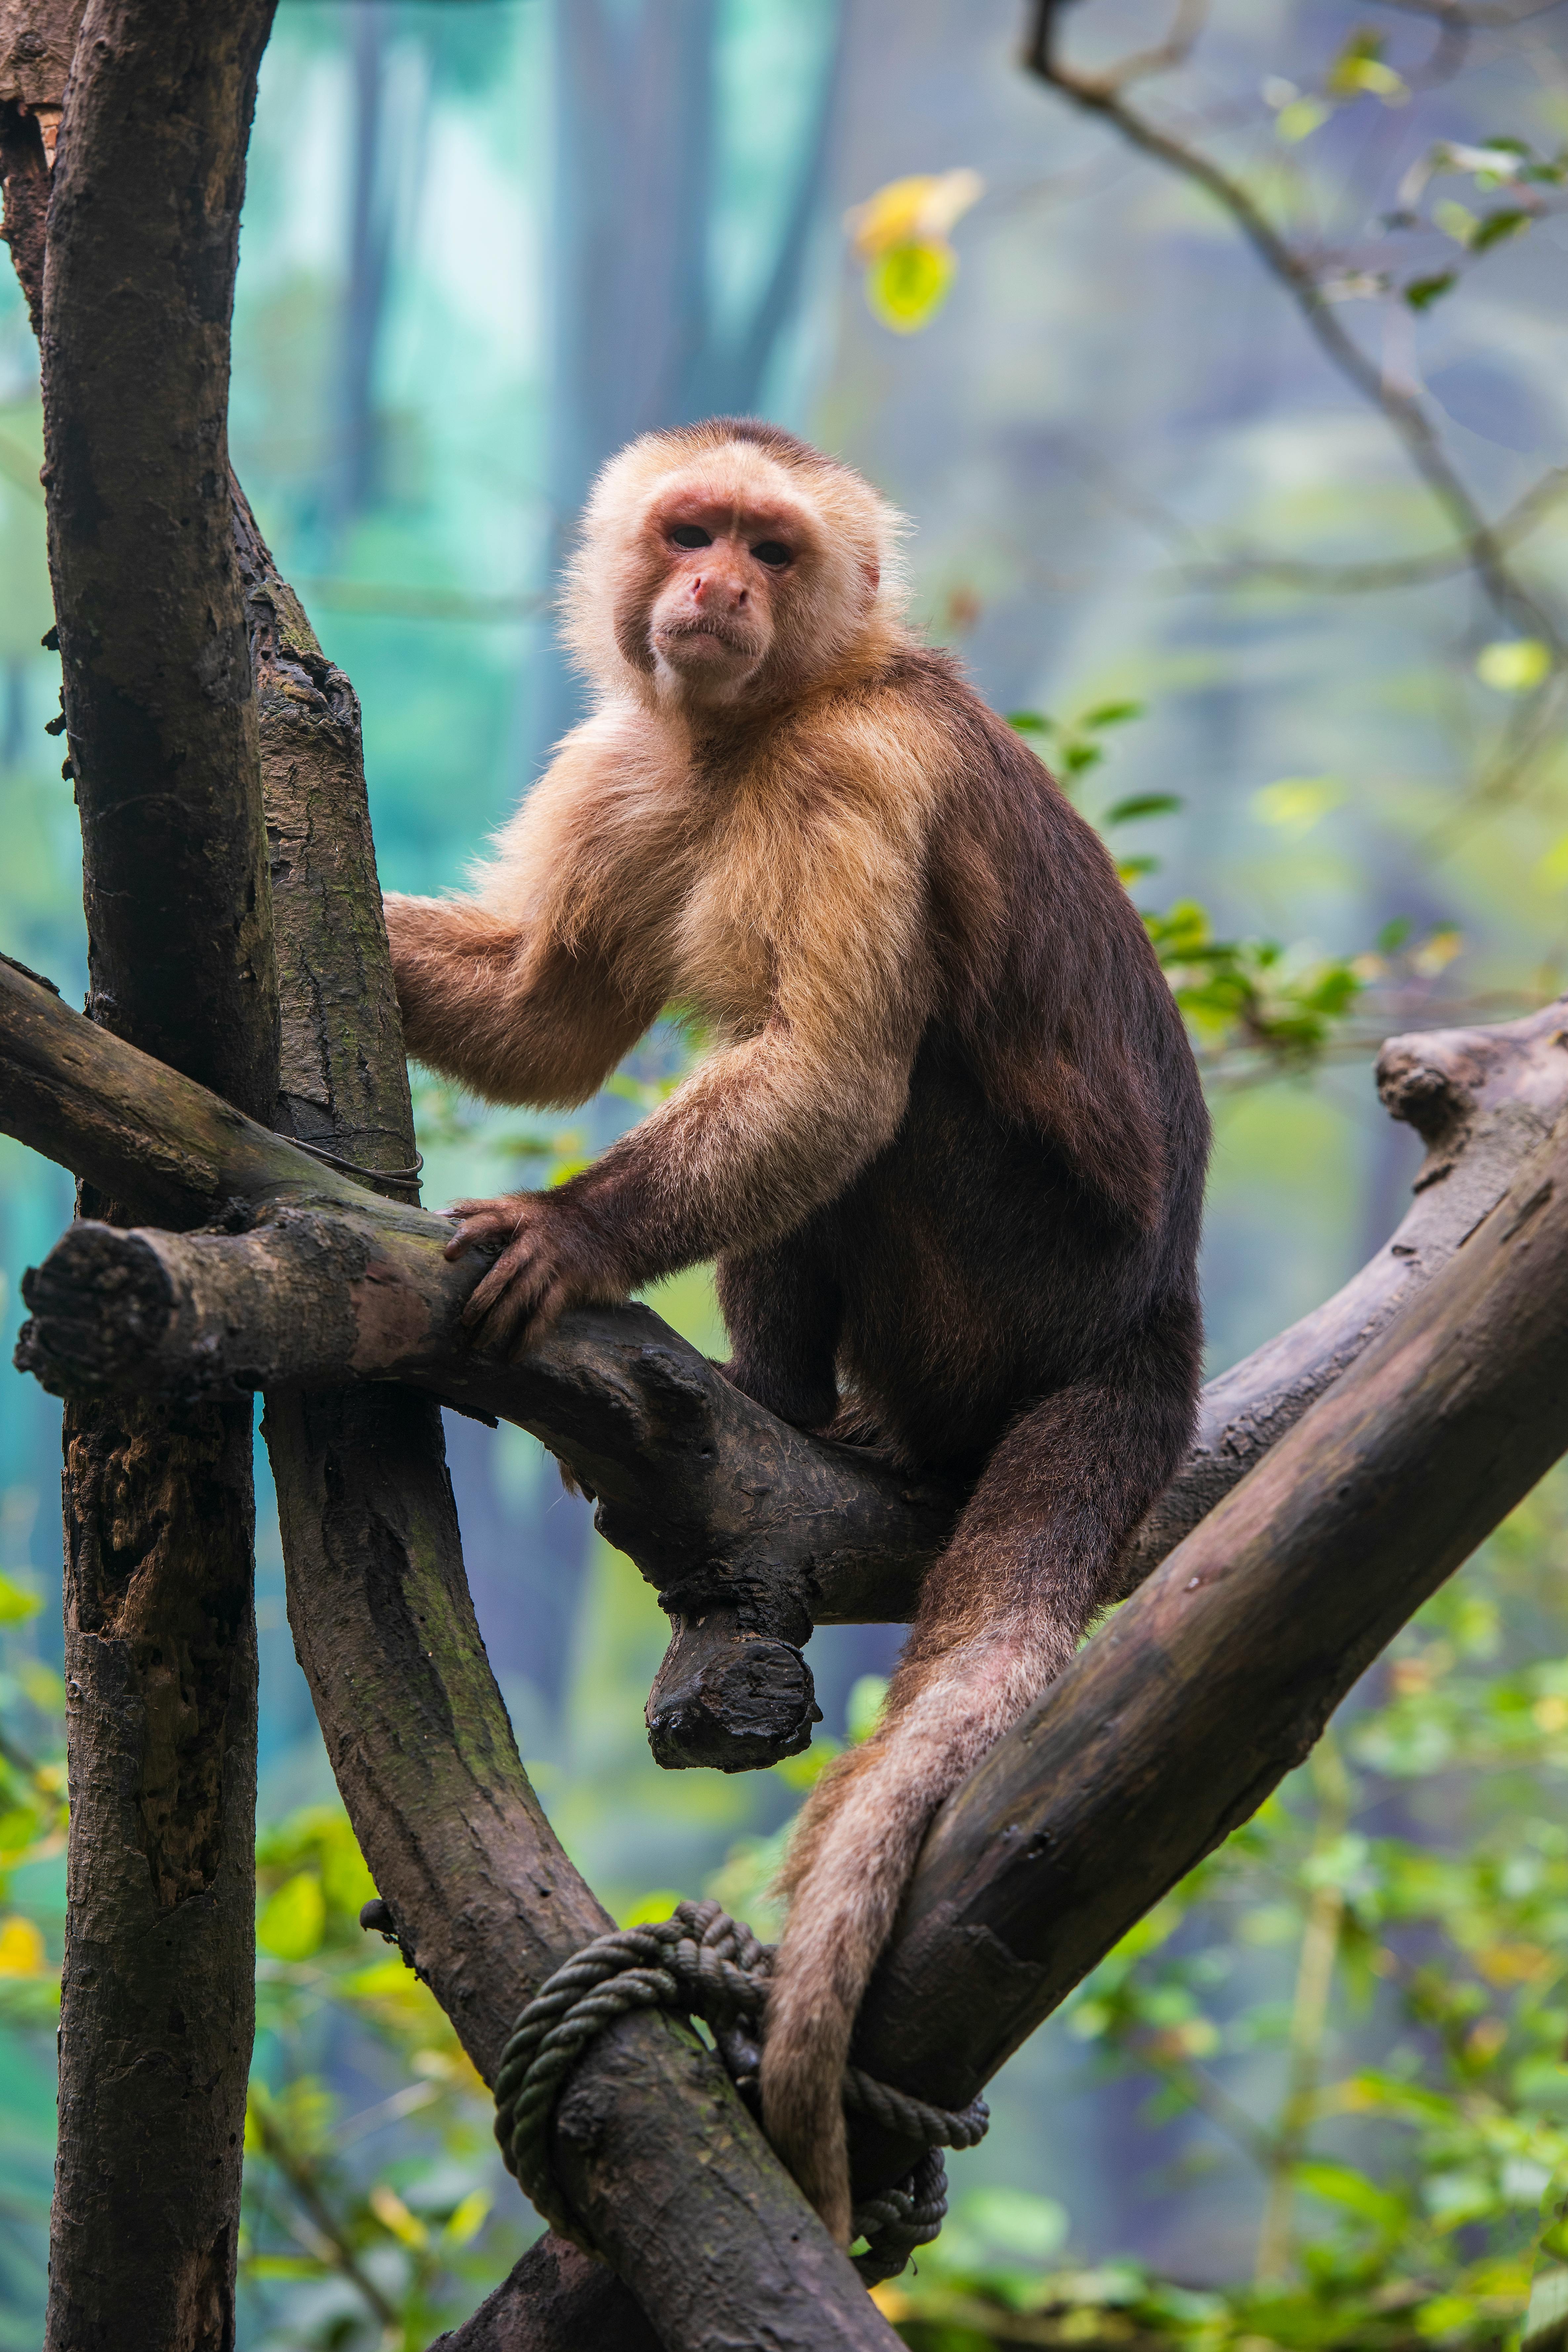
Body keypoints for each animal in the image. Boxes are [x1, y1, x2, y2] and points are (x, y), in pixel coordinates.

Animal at [382, 417, 1209, 2245]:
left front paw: (573, 1233)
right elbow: (548, 1017)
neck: (758, 723)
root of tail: (1156, 1324)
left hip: (1017, 1292)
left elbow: (826, 1084)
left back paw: (791, 1414)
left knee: (880, 1104)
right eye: (692, 533)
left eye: (770, 552)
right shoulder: (624, 759)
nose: (711, 593)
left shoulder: (857, 779)